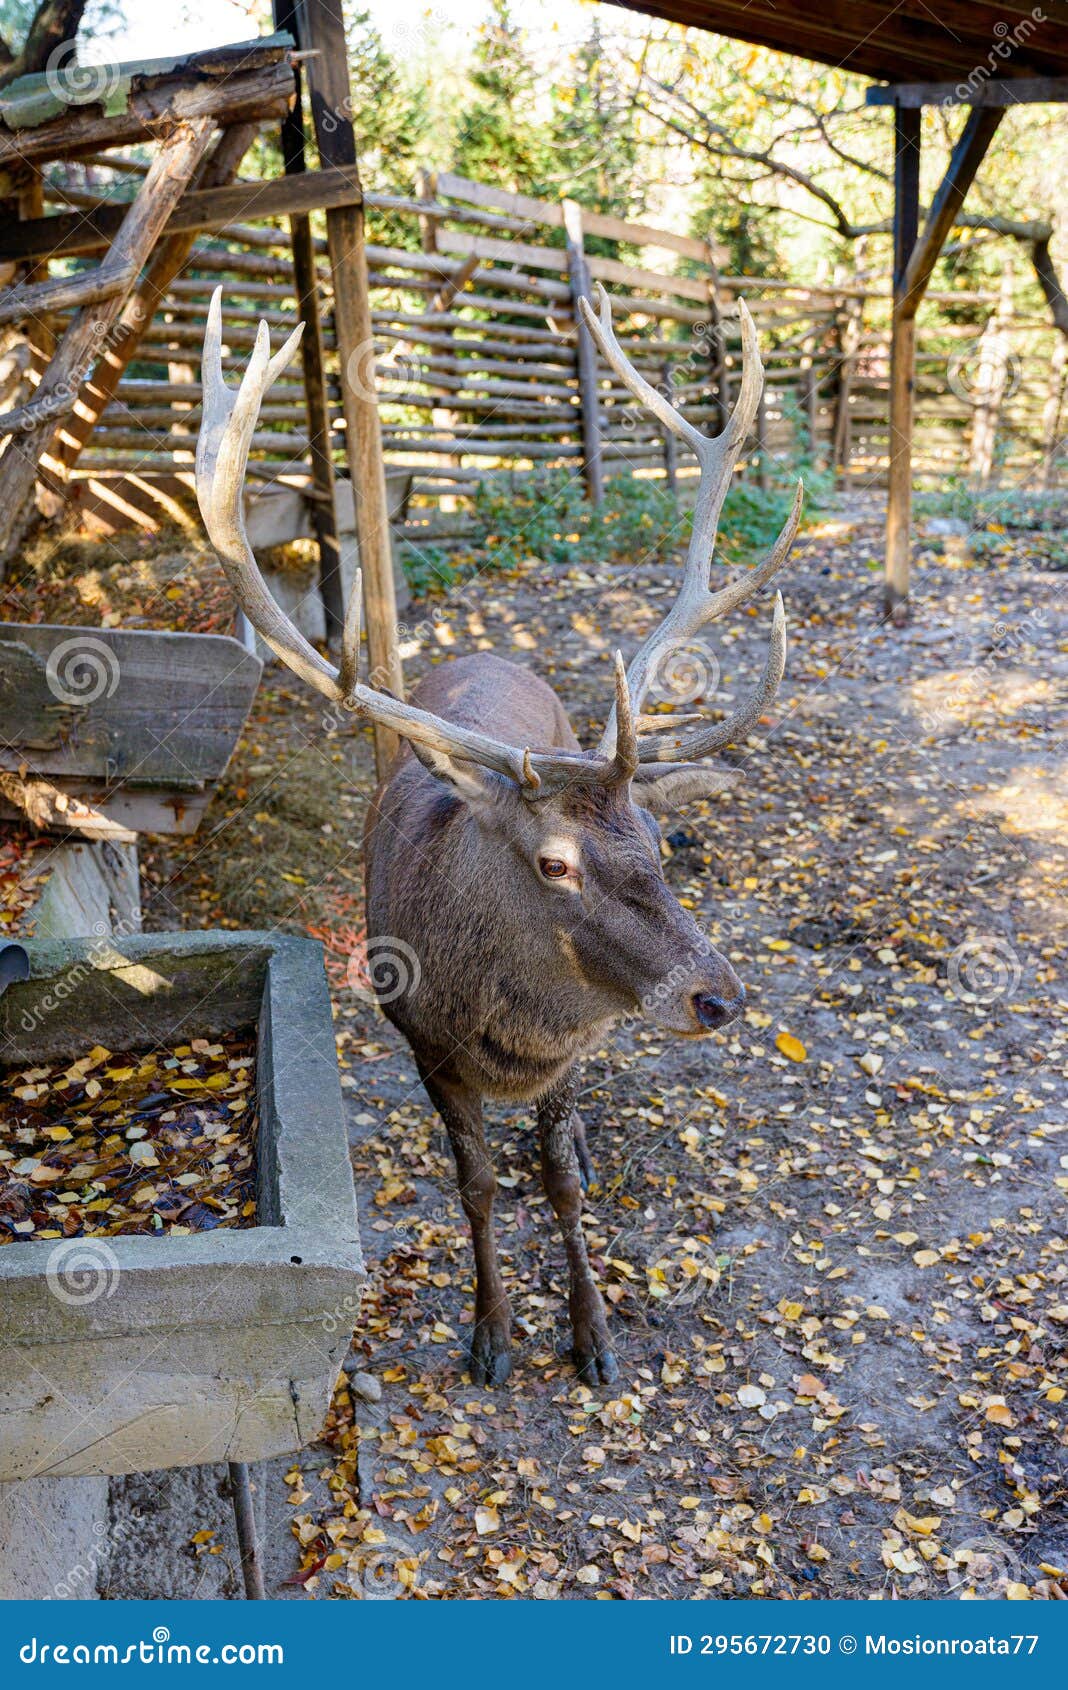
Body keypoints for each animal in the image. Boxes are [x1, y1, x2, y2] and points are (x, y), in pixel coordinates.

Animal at [196, 282, 801, 1389]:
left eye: (661, 837)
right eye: (554, 861)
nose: (718, 995)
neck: (509, 1040)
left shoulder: (577, 1049)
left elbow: (559, 1184)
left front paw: (593, 1334)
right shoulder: (423, 1044)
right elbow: (474, 1184)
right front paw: (493, 1331)